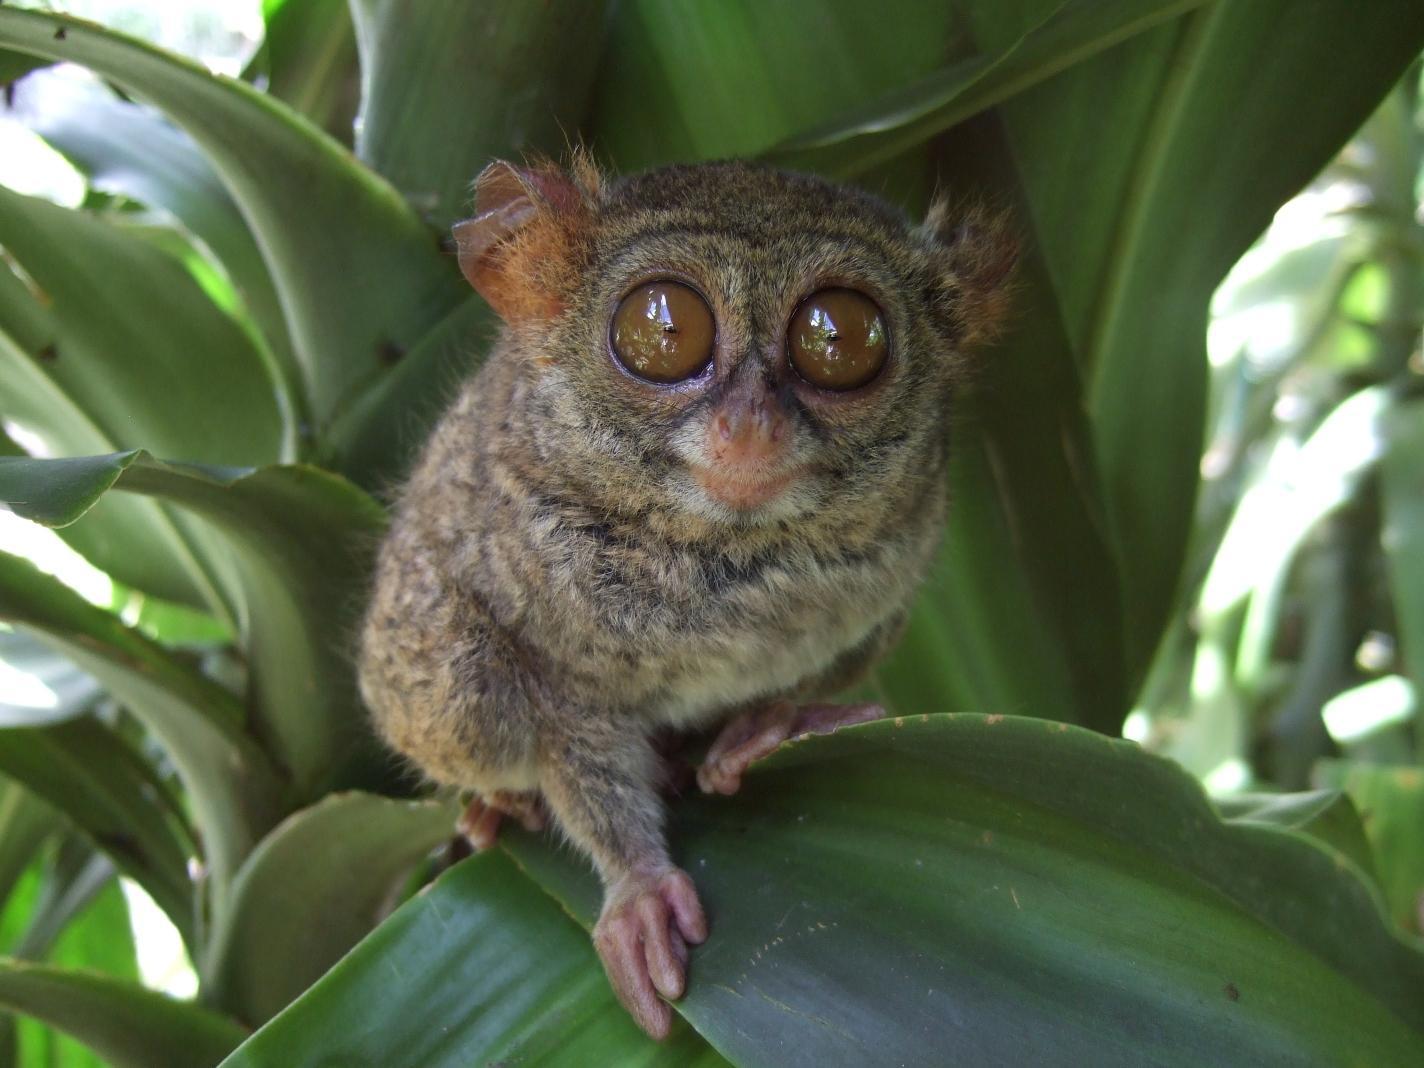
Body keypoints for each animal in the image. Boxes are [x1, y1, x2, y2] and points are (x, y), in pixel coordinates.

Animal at [358, 155, 1014, 1039]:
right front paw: (637, 888)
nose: (751, 422)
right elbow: (568, 737)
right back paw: (499, 803)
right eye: (664, 331)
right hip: (435, 670)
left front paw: (773, 725)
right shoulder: (548, 630)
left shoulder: (895, 565)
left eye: (839, 339)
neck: (726, 555)